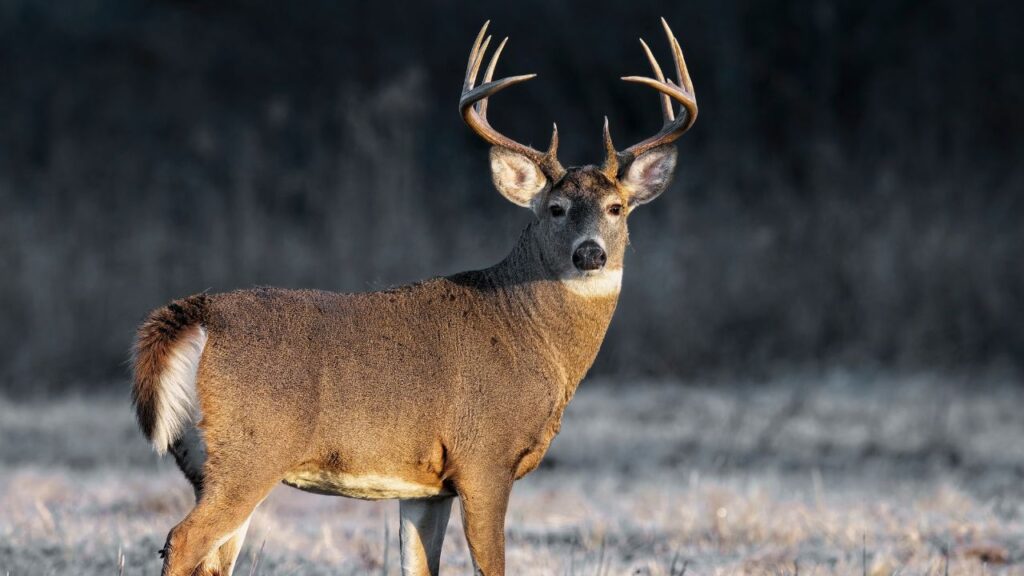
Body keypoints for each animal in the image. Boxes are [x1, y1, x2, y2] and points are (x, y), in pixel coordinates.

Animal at [131, 18, 697, 576]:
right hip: (250, 451)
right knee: (182, 540)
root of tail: (198, 313)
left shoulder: (428, 486)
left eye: (616, 207)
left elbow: (421, 565)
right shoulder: (484, 456)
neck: (535, 339)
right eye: (556, 209)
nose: (590, 254)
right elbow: (491, 564)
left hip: (207, 462)